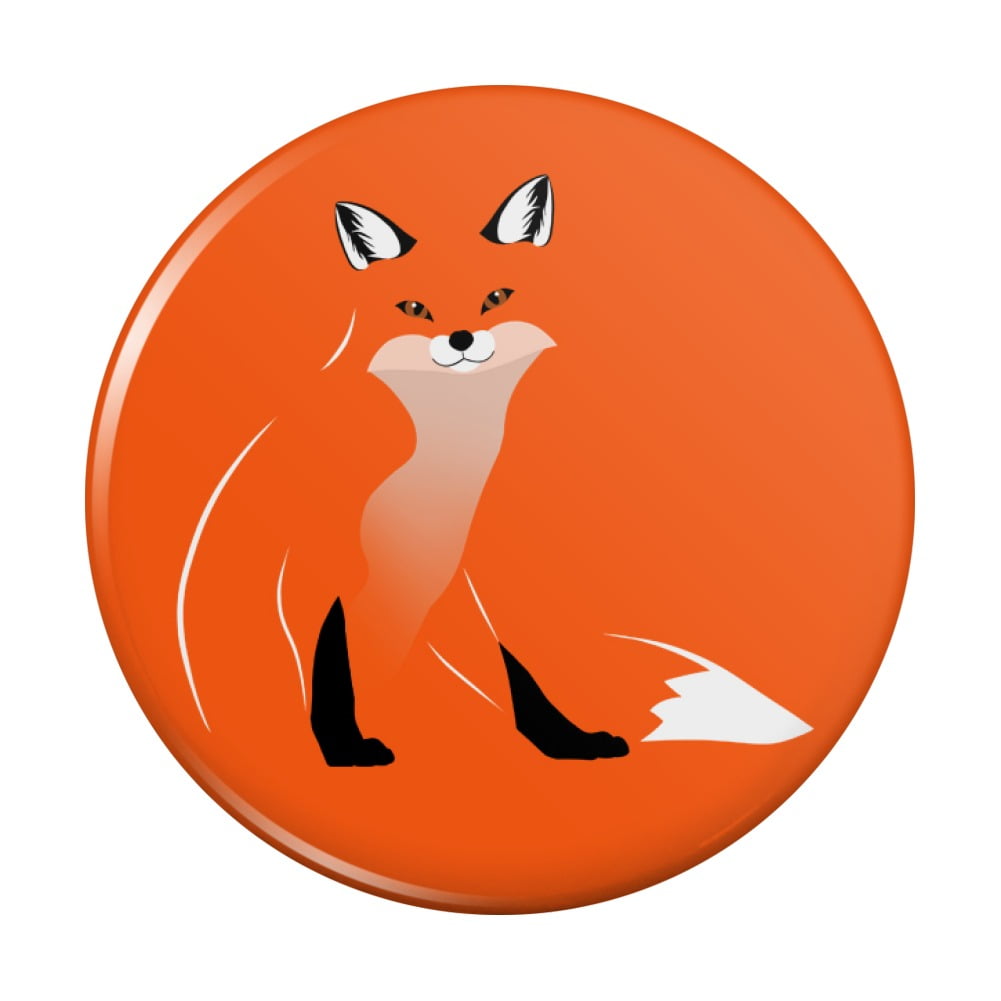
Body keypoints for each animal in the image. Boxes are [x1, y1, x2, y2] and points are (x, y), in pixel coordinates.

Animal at [311, 175, 630, 766]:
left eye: (496, 298)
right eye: (415, 308)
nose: (461, 338)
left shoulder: (457, 582)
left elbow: (513, 674)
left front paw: (562, 739)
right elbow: (341, 672)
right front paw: (348, 744)